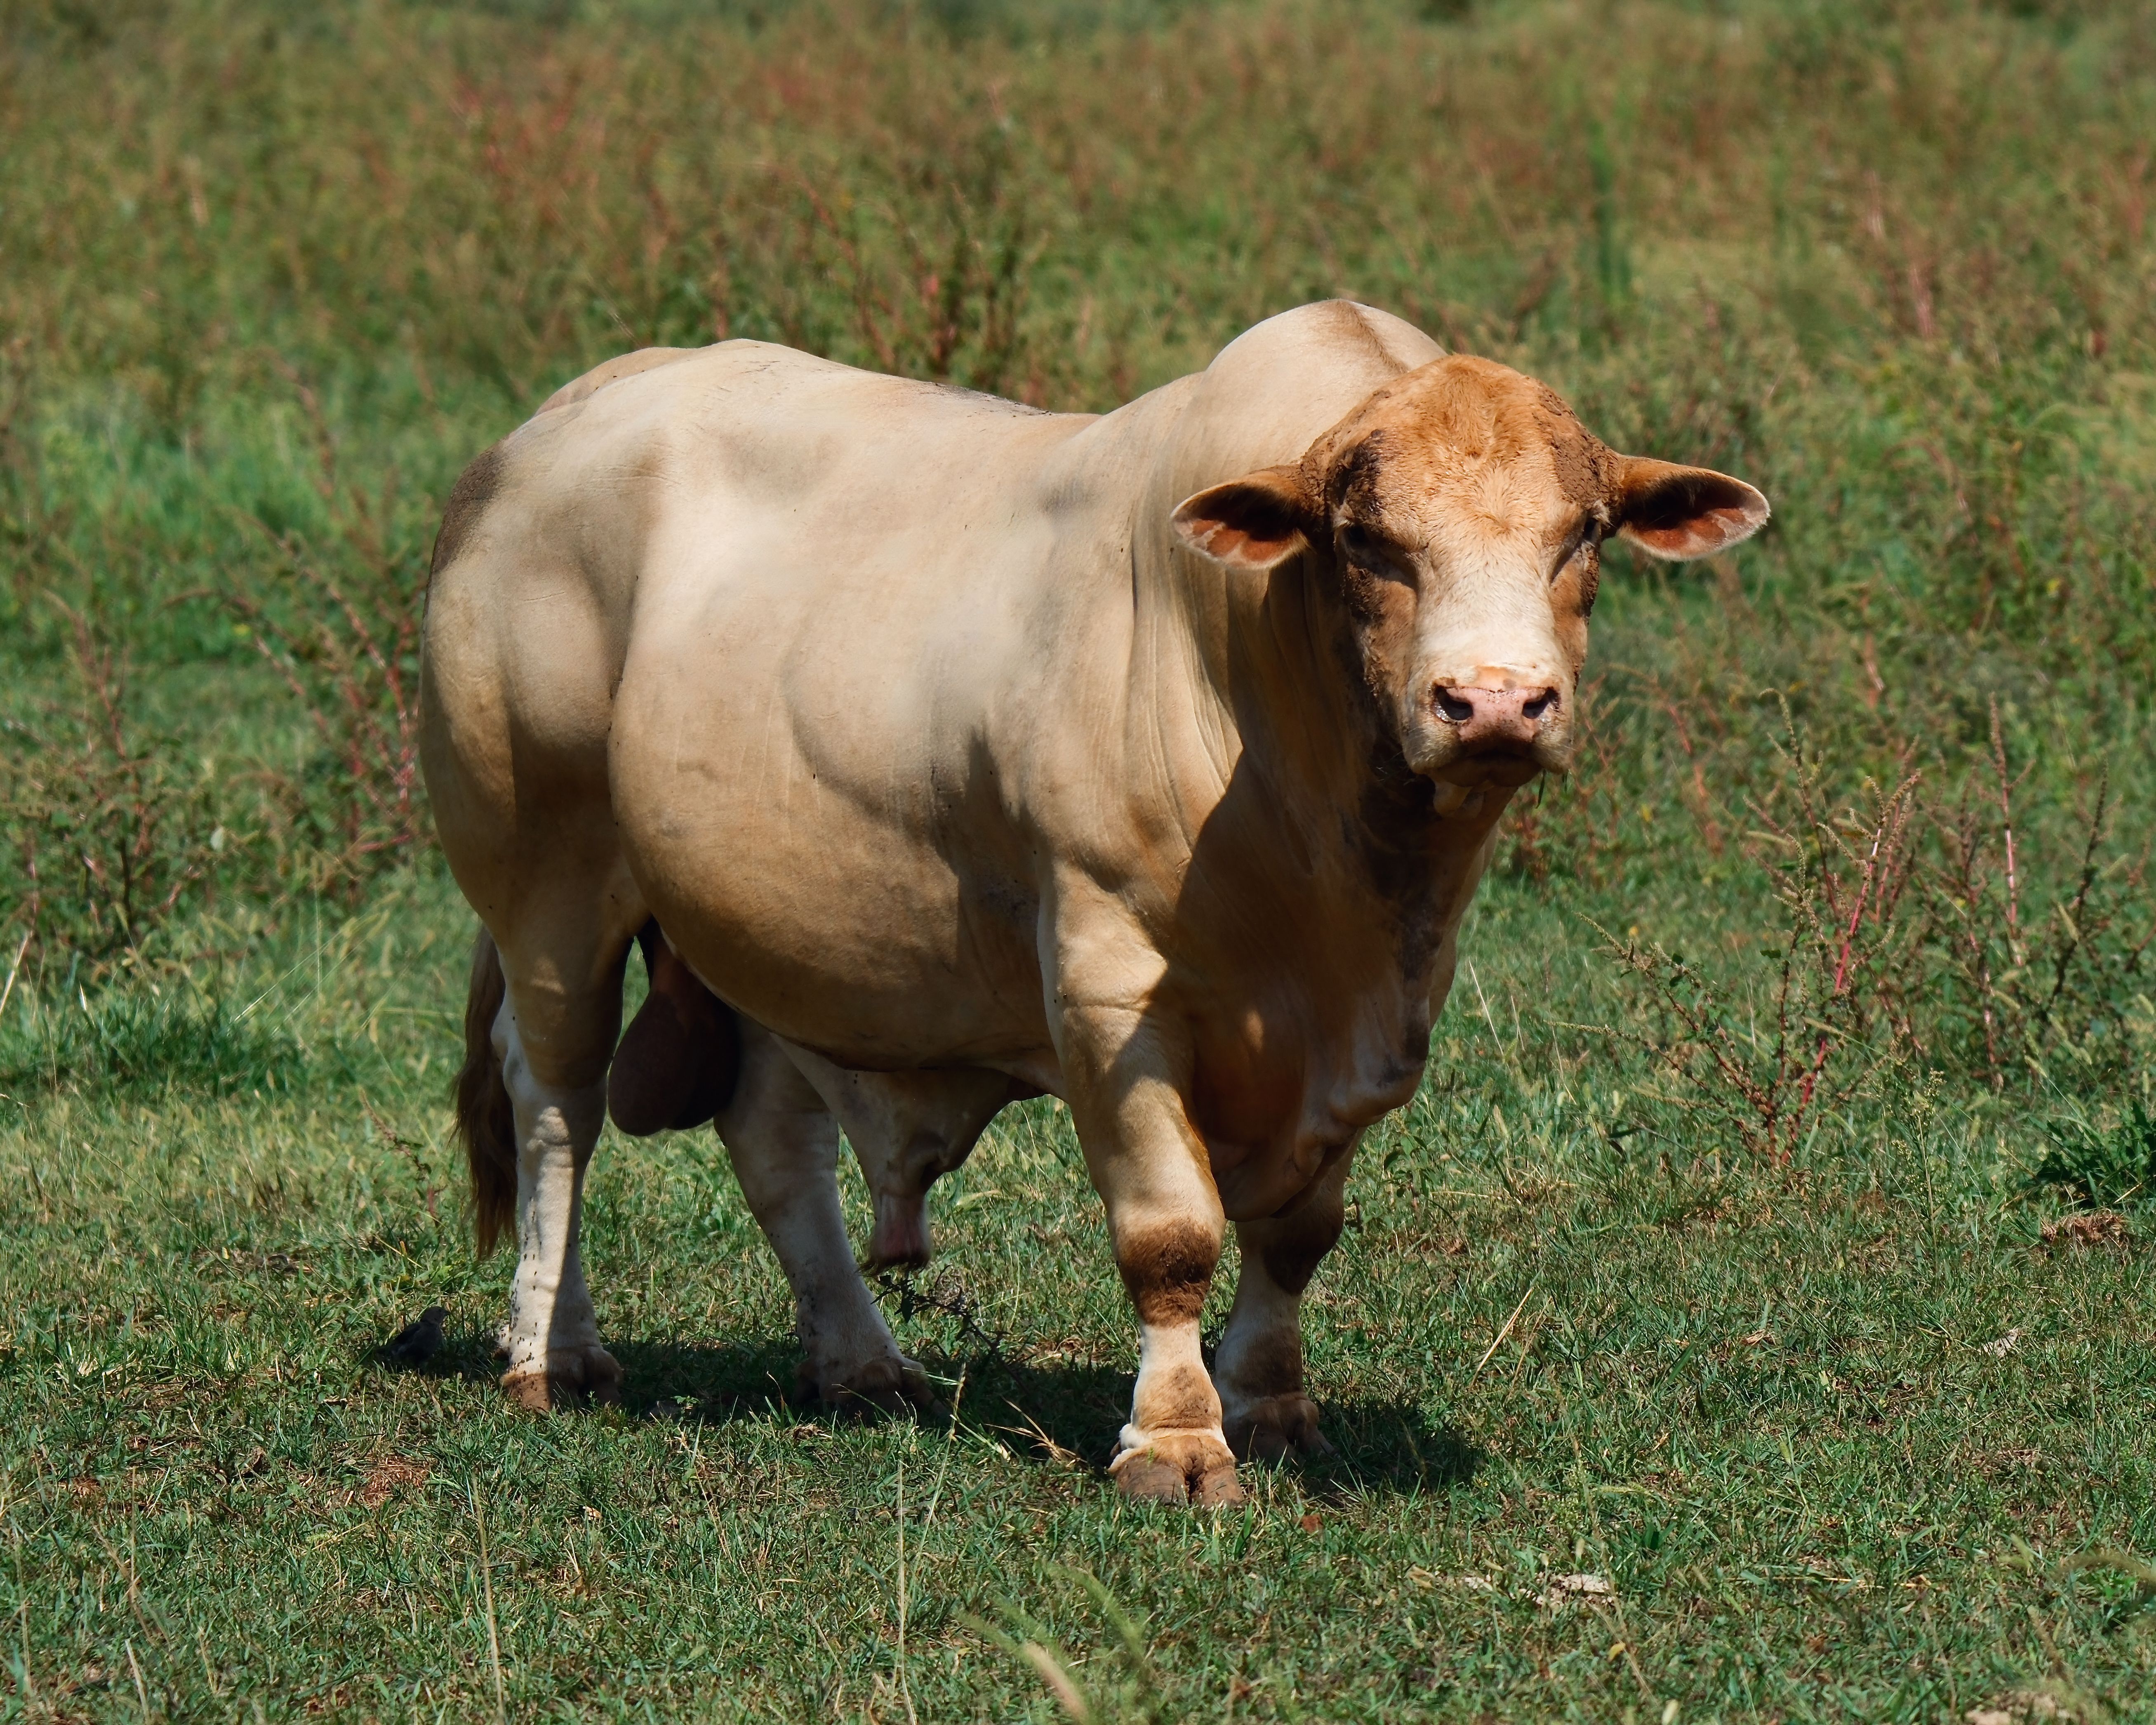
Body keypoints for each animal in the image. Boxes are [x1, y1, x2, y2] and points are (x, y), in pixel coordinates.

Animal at [421, 301, 1768, 1505]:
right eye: (1363, 540)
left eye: (1581, 533)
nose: (1492, 702)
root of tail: (551, 423)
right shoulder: (1107, 987)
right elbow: (1170, 1232)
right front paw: (1173, 1440)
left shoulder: (1381, 1014)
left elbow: (1298, 1230)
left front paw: (1269, 1401)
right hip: (546, 881)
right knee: (555, 1105)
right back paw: (552, 1352)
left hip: (772, 930)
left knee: (772, 1132)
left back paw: (858, 1361)